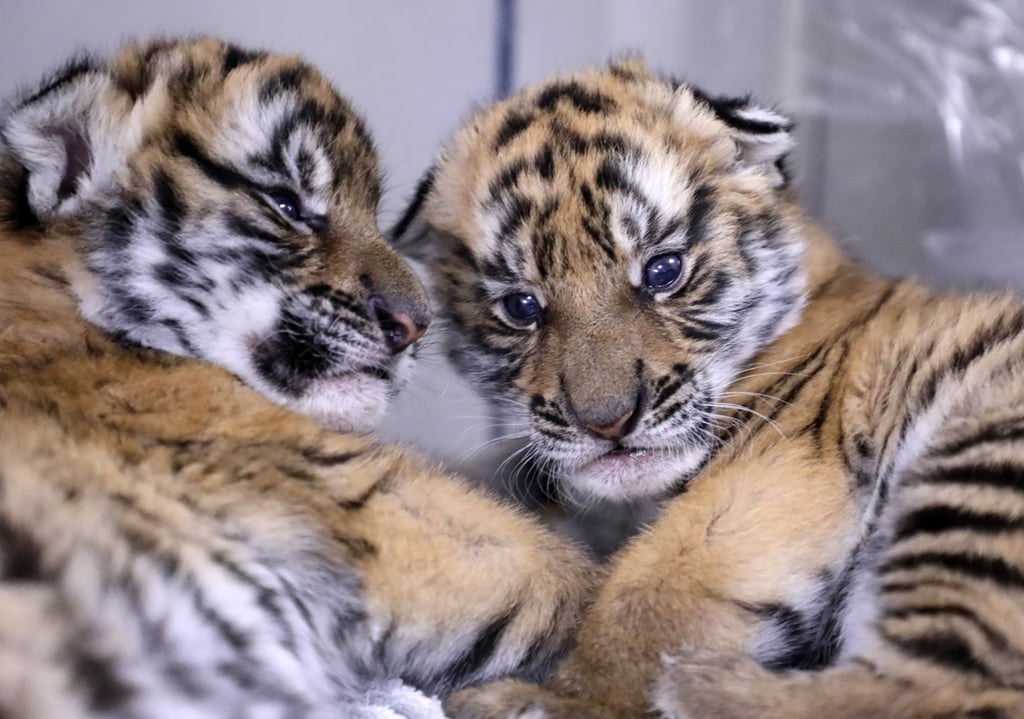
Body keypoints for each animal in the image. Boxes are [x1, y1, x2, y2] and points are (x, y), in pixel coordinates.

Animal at [393, 57, 1024, 718]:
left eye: (663, 271)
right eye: (521, 308)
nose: (607, 422)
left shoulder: (778, 467)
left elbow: (652, 590)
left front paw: (573, 696)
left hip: (980, 465)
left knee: (944, 684)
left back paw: (687, 684)